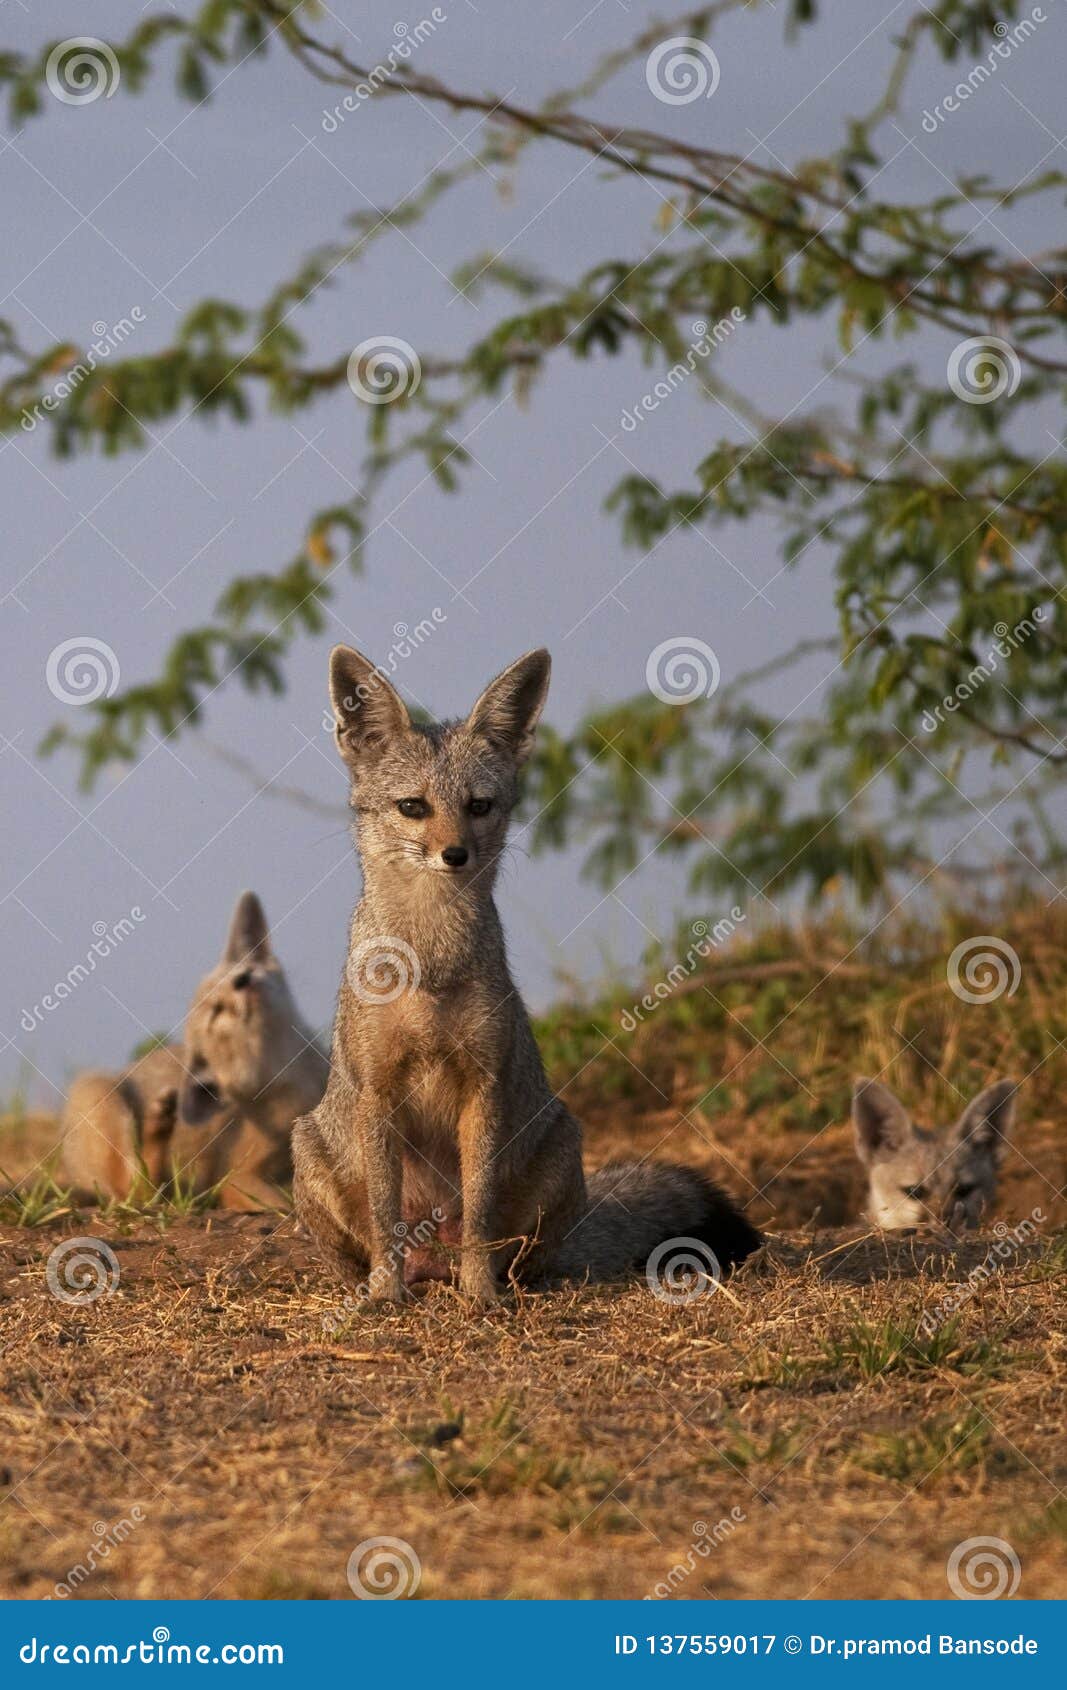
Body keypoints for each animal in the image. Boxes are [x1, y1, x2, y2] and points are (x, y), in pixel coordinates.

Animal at [59, 891, 328, 1211]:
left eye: (244, 970)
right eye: (217, 1012)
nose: (243, 980)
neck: (299, 1081)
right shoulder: (235, 1179)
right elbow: (287, 1207)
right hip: (97, 1090)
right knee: (137, 1192)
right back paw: (158, 1128)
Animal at [292, 644, 761, 1304]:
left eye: (479, 806)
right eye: (414, 807)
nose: (454, 854)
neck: (430, 961)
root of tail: (432, 1260)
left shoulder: (483, 1086)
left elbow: (480, 1211)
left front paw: (480, 1296)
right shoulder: (377, 1092)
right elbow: (385, 1215)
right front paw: (386, 1295)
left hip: (563, 1138)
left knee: (514, 1253)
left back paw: (487, 1280)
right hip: (306, 1143)